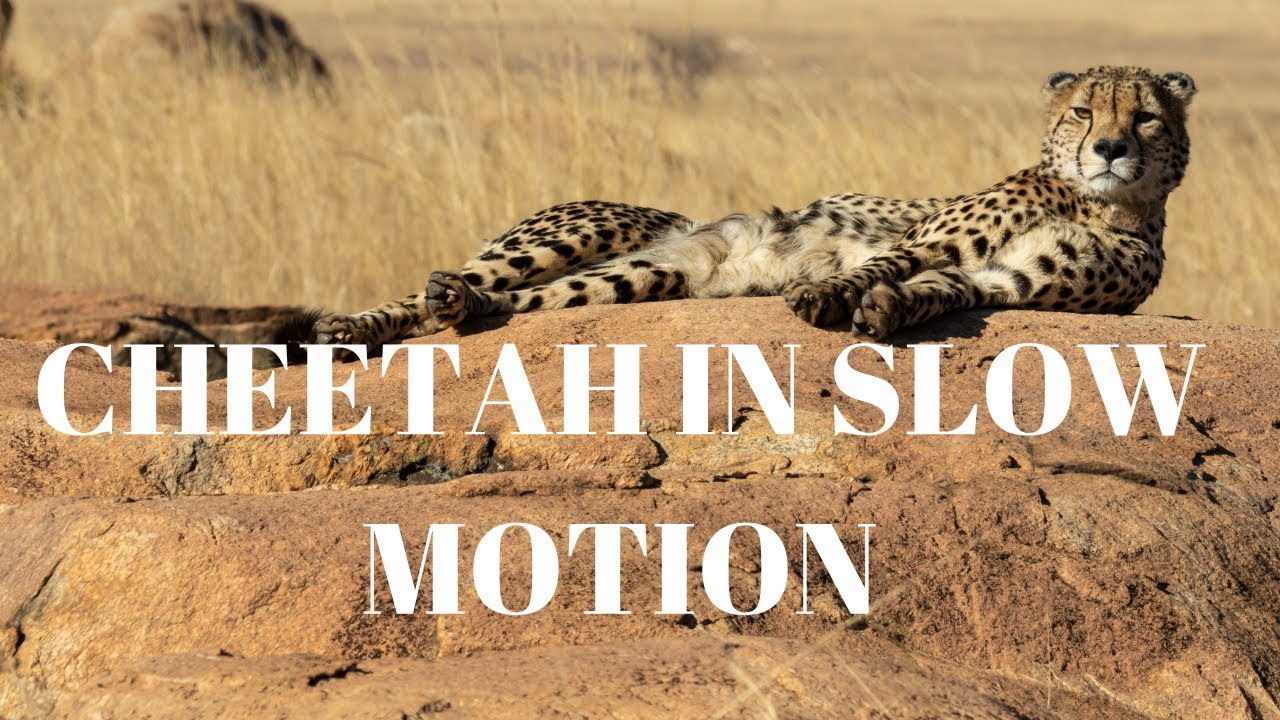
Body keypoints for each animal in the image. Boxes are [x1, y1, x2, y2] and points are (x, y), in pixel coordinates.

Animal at [310, 65, 1195, 347]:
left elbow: (937, 293)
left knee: (507, 302)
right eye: (1084, 111)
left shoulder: (1000, 280)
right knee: (435, 289)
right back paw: (351, 324)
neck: (1099, 205)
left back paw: (463, 307)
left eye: (1147, 116)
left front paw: (885, 313)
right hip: (574, 233)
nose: (1111, 149)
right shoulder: (928, 237)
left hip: (630, 279)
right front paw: (829, 296)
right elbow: (884, 261)